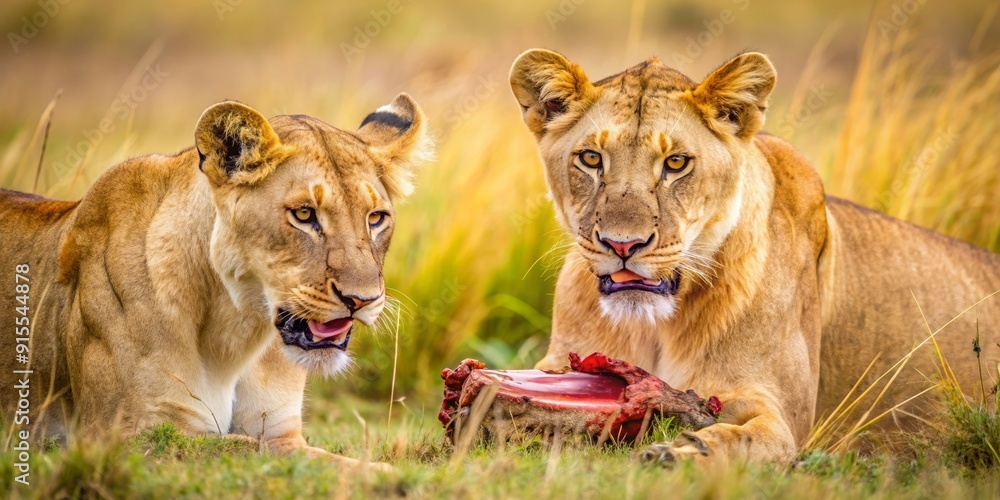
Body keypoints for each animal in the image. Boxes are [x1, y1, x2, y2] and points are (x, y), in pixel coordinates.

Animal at [0, 94, 432, 468]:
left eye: (375, 218)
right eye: (304, 214)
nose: (362, 300)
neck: (238, 329)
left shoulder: (281, 432)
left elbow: (330, 463)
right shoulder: (121, 436)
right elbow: (242, 448)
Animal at [509, 49, 1000, 466]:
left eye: (676, 163)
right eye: (591, 158)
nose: (623, 245)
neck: (655, 325)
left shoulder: (781, 417)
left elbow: (740, 440)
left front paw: (678, 453)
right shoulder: (555, 364)